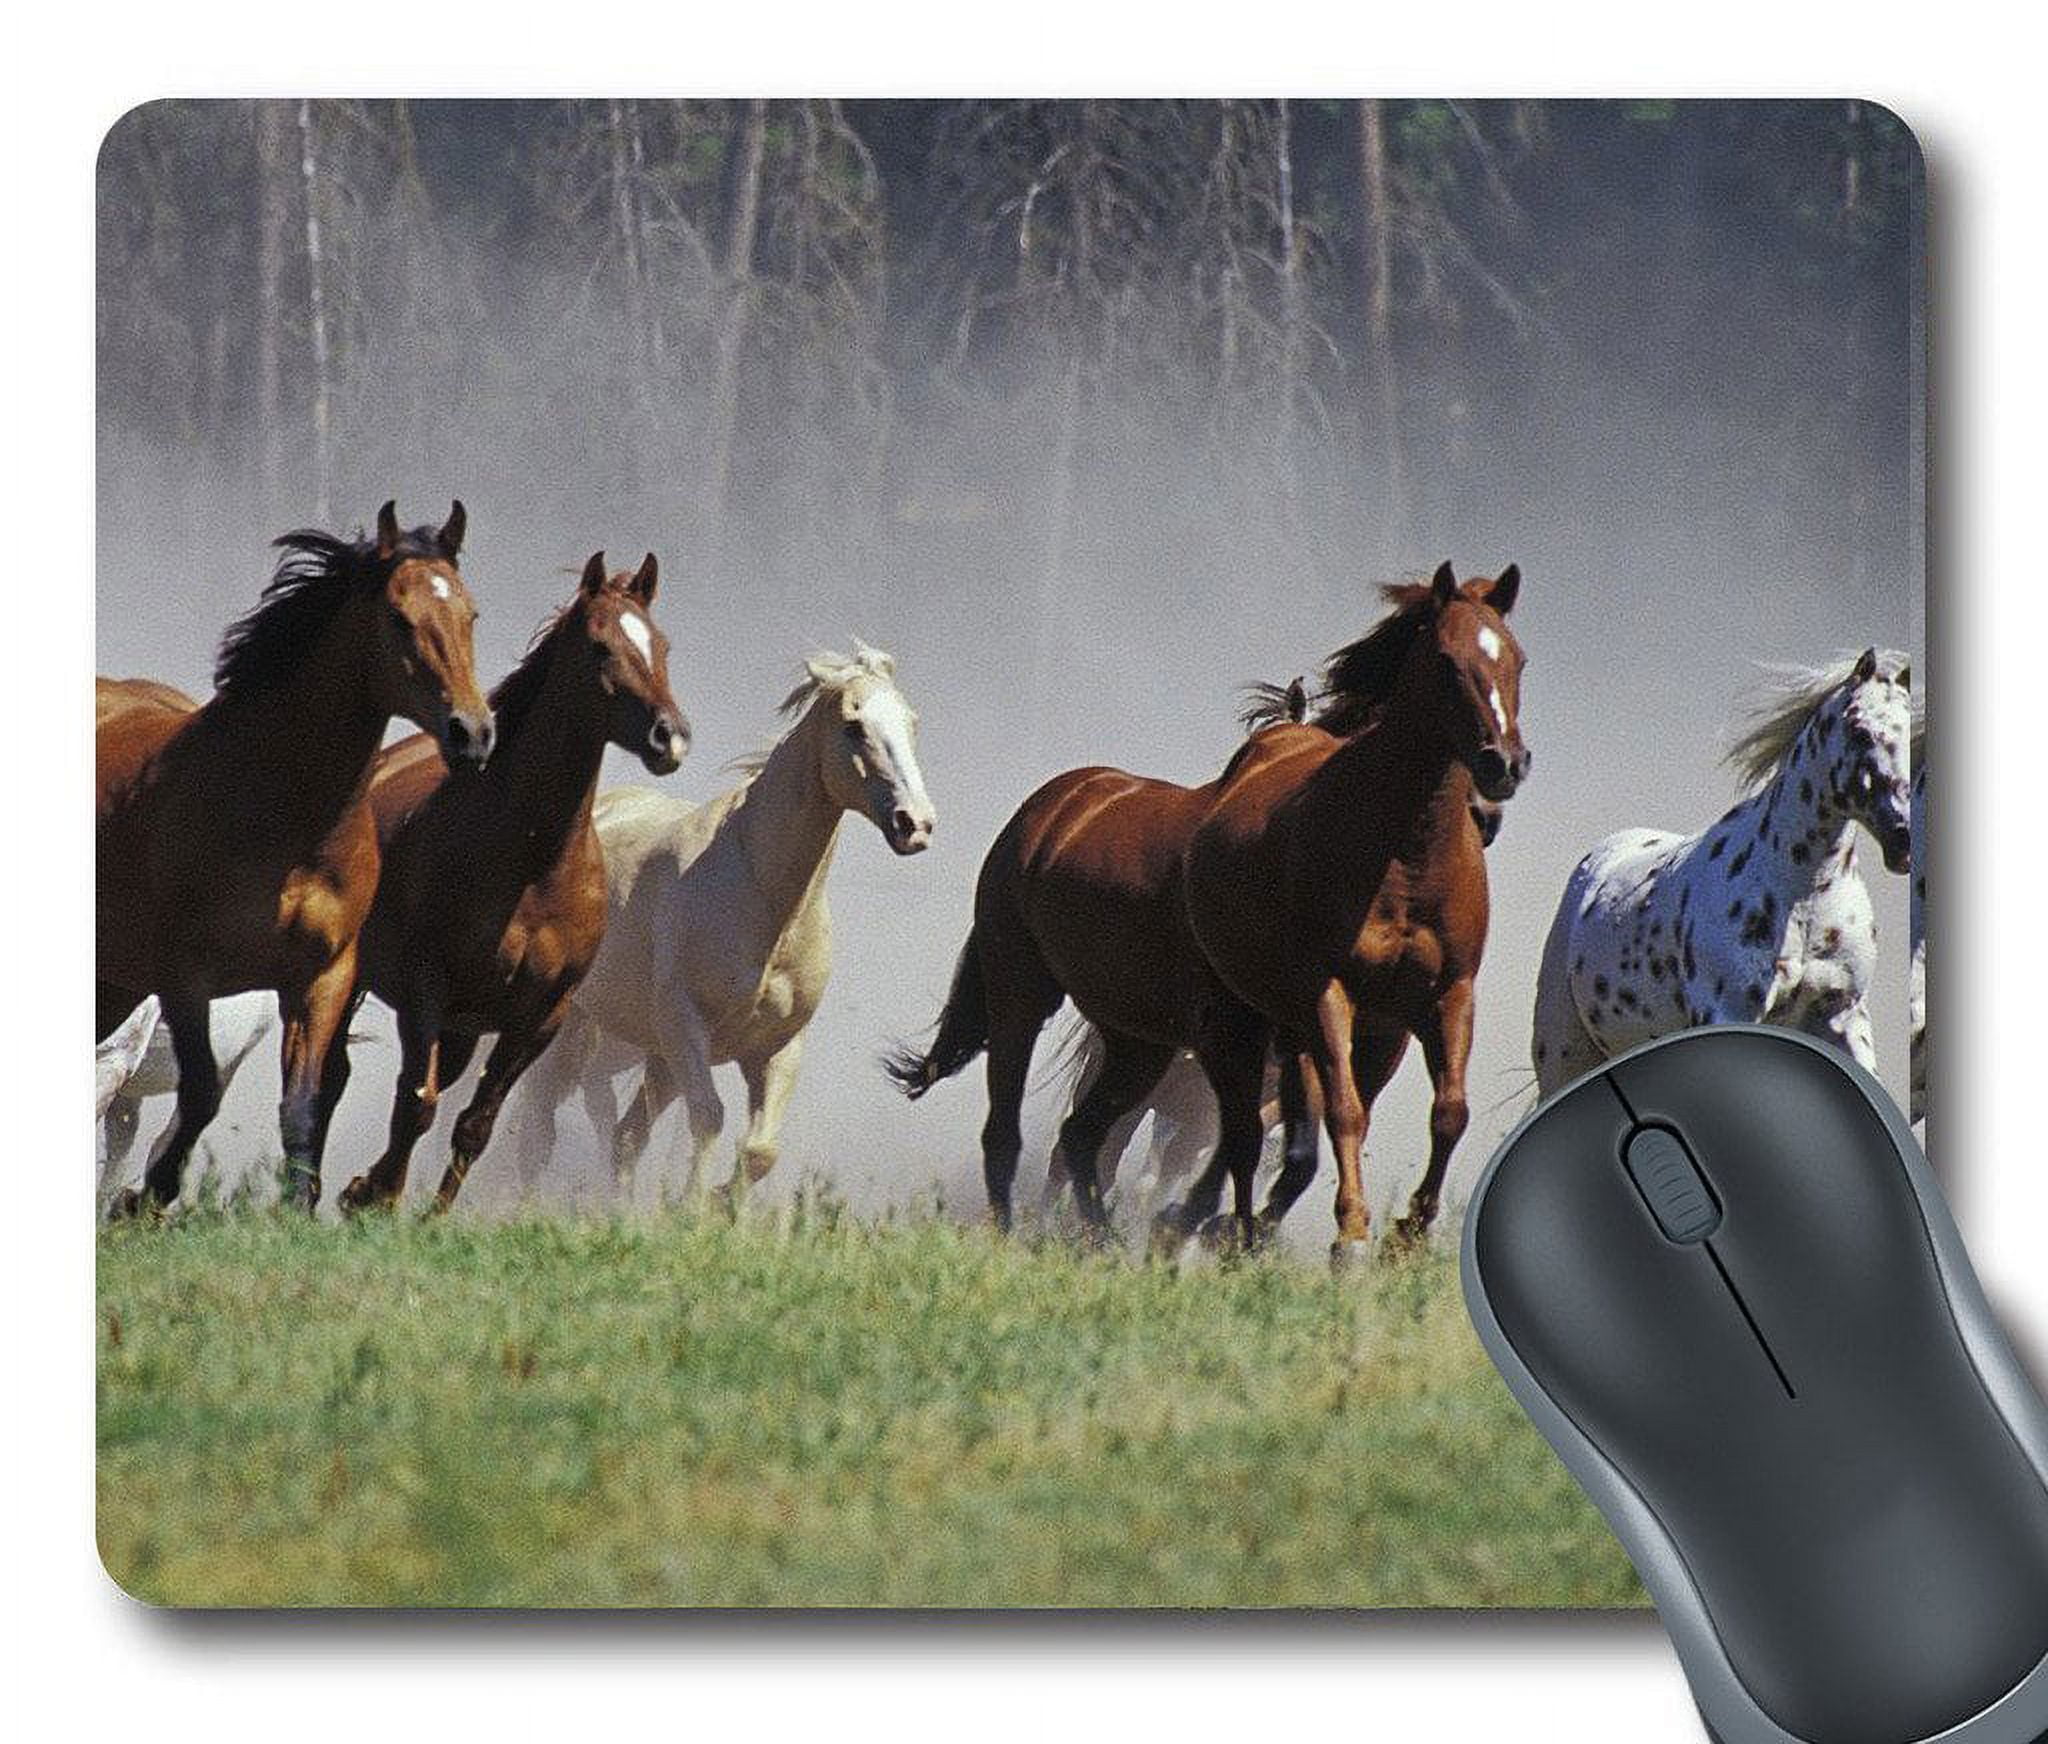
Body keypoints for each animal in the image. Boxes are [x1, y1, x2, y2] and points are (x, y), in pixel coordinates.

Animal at [97, 501, 492, 1215]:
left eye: (470, 614)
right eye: (399, 617)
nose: (472, 734)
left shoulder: (322, 976)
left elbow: (303, 1105)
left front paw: (296, 1210)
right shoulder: (185, 976)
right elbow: (200, 1094)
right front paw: (144, 1199)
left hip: (113, 980)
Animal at [327, 553, 688, 1214]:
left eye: (662, 645)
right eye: (600, 646)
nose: (668, 737)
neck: (530, 867)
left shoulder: (539, 1016)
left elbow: (476, 1124)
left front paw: (427, 1215)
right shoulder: (425, 991)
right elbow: (418, 1104)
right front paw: (377, 1197)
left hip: (465, 1025)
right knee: (332, 1074)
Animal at [512, 645, 934, 1204]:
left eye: (912, 722)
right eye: (853, 725)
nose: (916, 824)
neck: (764, 901)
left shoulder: (777, 1048)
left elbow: (760, 1151)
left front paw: (718, 1203)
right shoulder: (687, 1027)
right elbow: (710, 1117)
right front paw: (691, 1206)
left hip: (654, 1055)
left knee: (624, 1138)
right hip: (573, 1030)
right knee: (539, 1133)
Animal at [1164, 563, 1529, 1260]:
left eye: (1518, 660)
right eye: (1447, 660)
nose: (1504, 764)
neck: (1405, 858)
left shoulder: (1444, 996)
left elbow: (1451, 1111)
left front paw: (1408, 1232)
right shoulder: (1327, 993)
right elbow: (1344, 1113)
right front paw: (1352, 1236)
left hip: (1331, 1030)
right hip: (1240, 1016)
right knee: (1242, 1134)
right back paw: (1227, 1226)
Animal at [1530, 648, 1911, 1099]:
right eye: (1859, 729)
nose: (1904, 837)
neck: (1802, 896)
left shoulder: (1843, 1016)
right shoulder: (1726, 1012)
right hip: (1564, 1055)